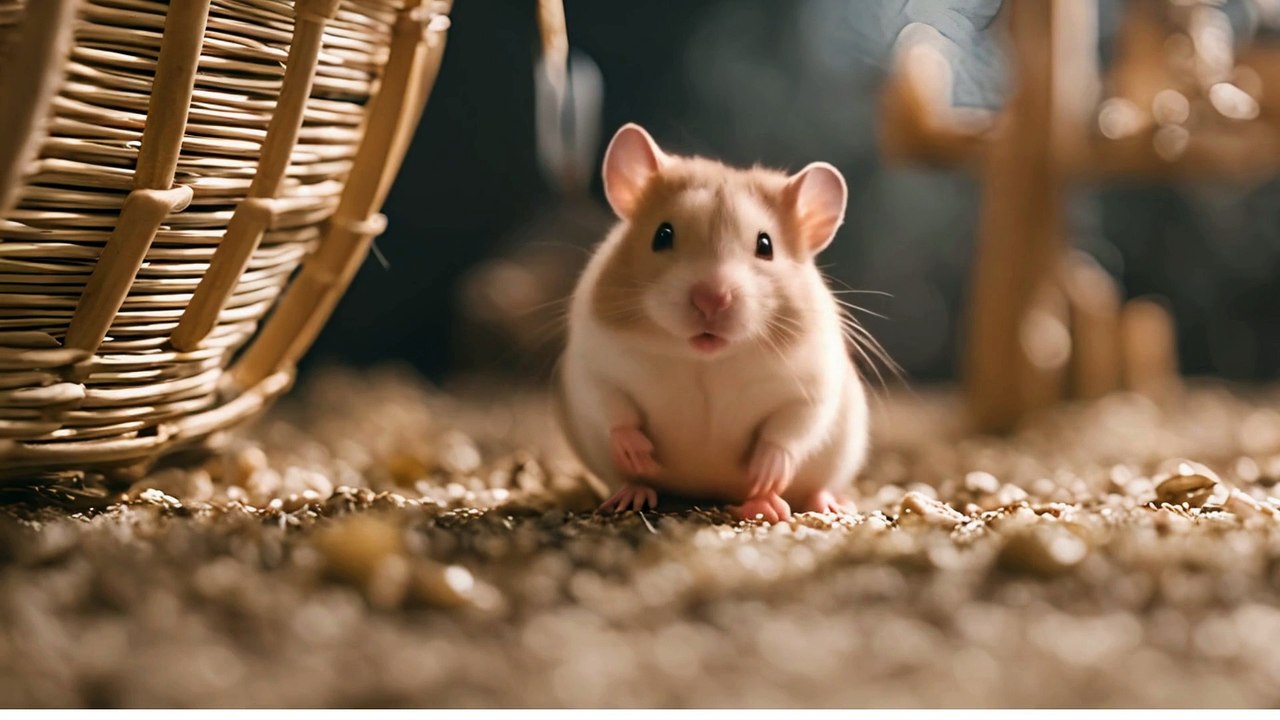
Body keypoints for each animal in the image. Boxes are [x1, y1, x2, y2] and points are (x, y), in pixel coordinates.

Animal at [555, 123, 869, 522]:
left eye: (765, 245)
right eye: (662, 235)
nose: (712, 299)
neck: (706, 359)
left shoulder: (812, 386)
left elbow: (788, 430)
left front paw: (761, 474)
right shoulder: (593, 366)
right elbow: (614, 410)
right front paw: (643, 457)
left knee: (812, 484)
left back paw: (788, 503)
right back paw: (632, 494)